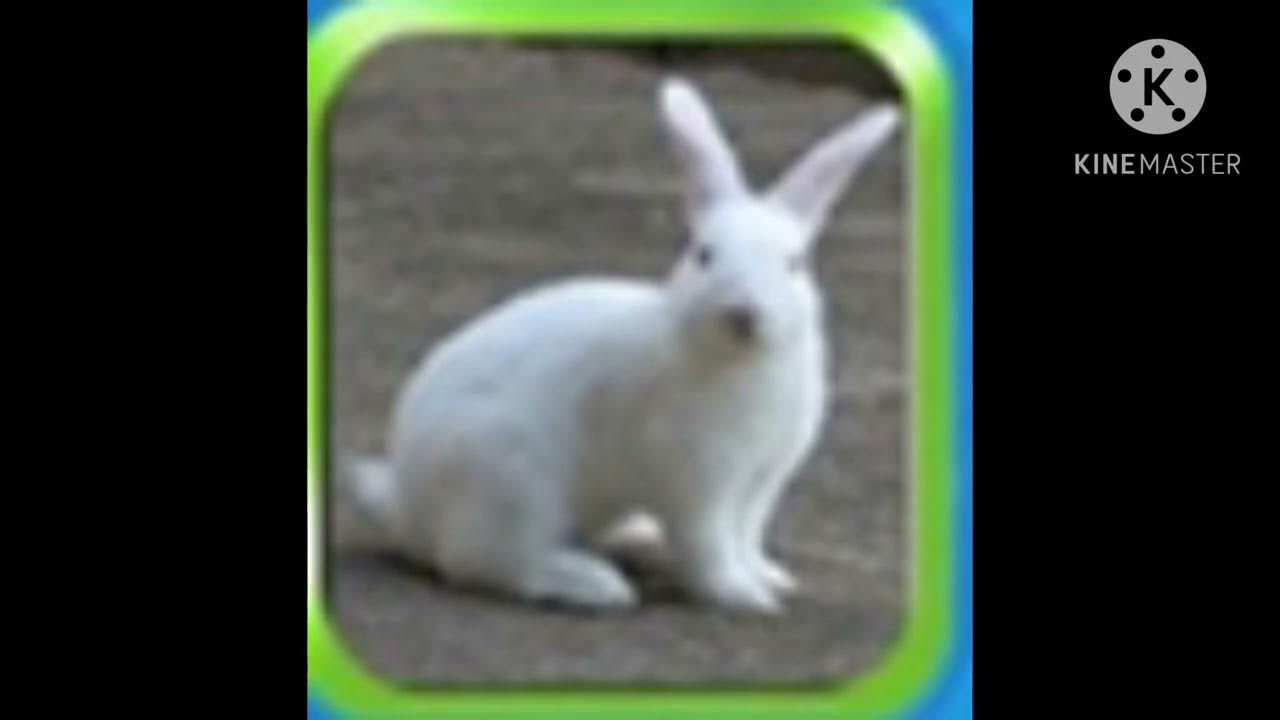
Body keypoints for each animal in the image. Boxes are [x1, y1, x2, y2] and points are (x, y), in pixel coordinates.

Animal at [347, 76, 901, 615]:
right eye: (703, 254)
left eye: (795, 264)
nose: (743, 313)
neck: (741, 362)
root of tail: (409, 503)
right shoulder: (699, 484)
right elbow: (709, 548)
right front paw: (744, 599)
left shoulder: (760, 483)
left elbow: (746, 538)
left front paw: (769, 578)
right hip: (512, 483)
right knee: (488, 564)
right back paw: (596, 585)